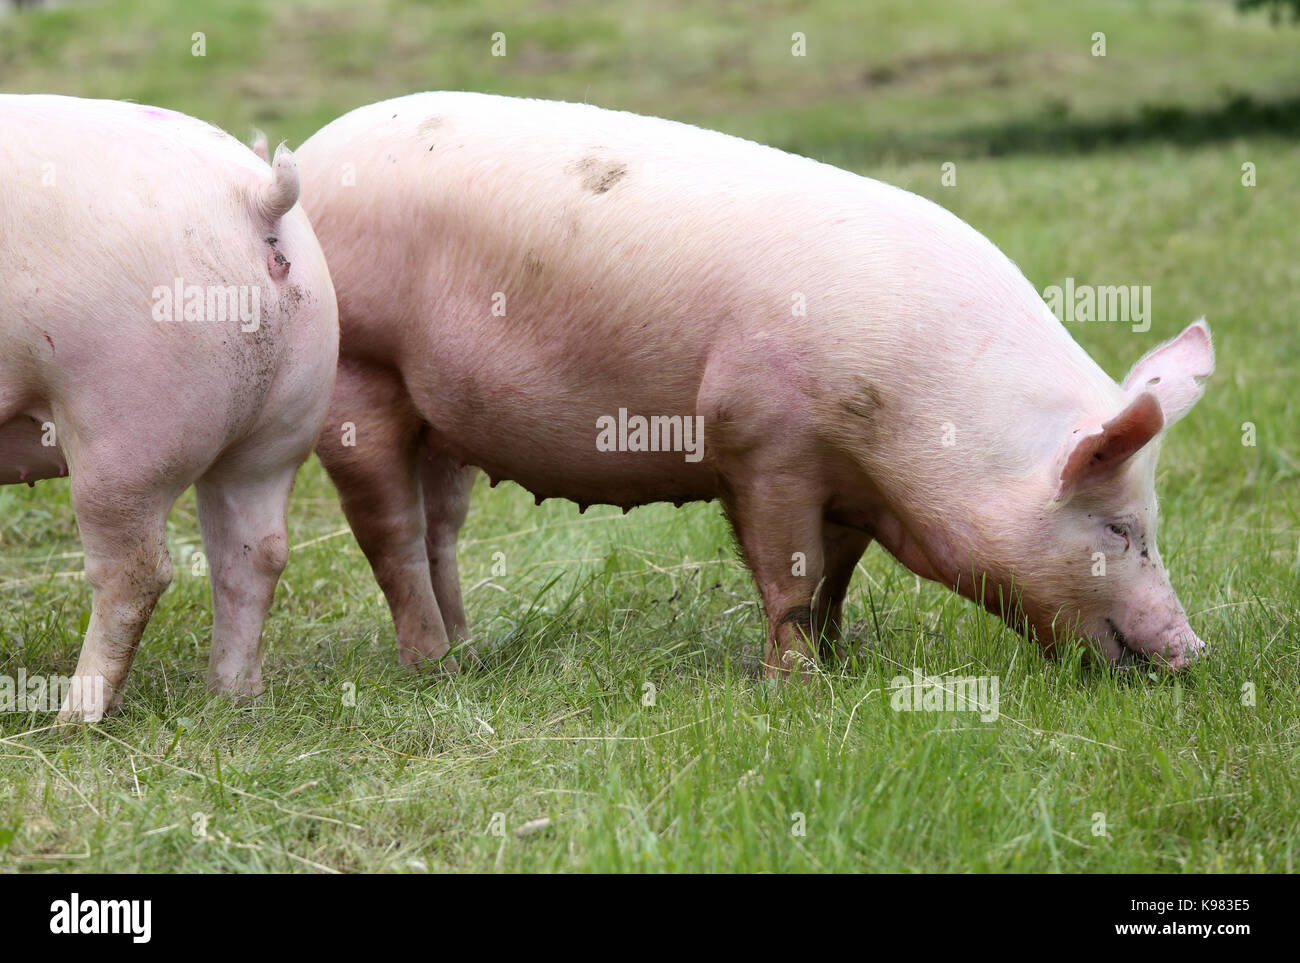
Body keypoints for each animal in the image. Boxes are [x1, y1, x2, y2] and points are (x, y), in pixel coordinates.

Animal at [0, 95, 339, 720]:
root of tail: (256, 198)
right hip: (280, 428)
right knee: (255, 554)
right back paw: (230, 695)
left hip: (124, 430)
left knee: (137, 573)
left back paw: (73, 719)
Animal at [296, 92, 1212, 678]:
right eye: (1120, 527)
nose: (1195, 650)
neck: (927, 433)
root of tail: (300, 156)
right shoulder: (763, 441)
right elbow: (791, 575)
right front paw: (795, 685)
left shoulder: (848, 483)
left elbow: (837, 575)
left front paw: (844, 663)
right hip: (360, 373)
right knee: (390, 532)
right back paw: (432, 668)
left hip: (437, 416)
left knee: (440, 529)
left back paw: (470, 651)